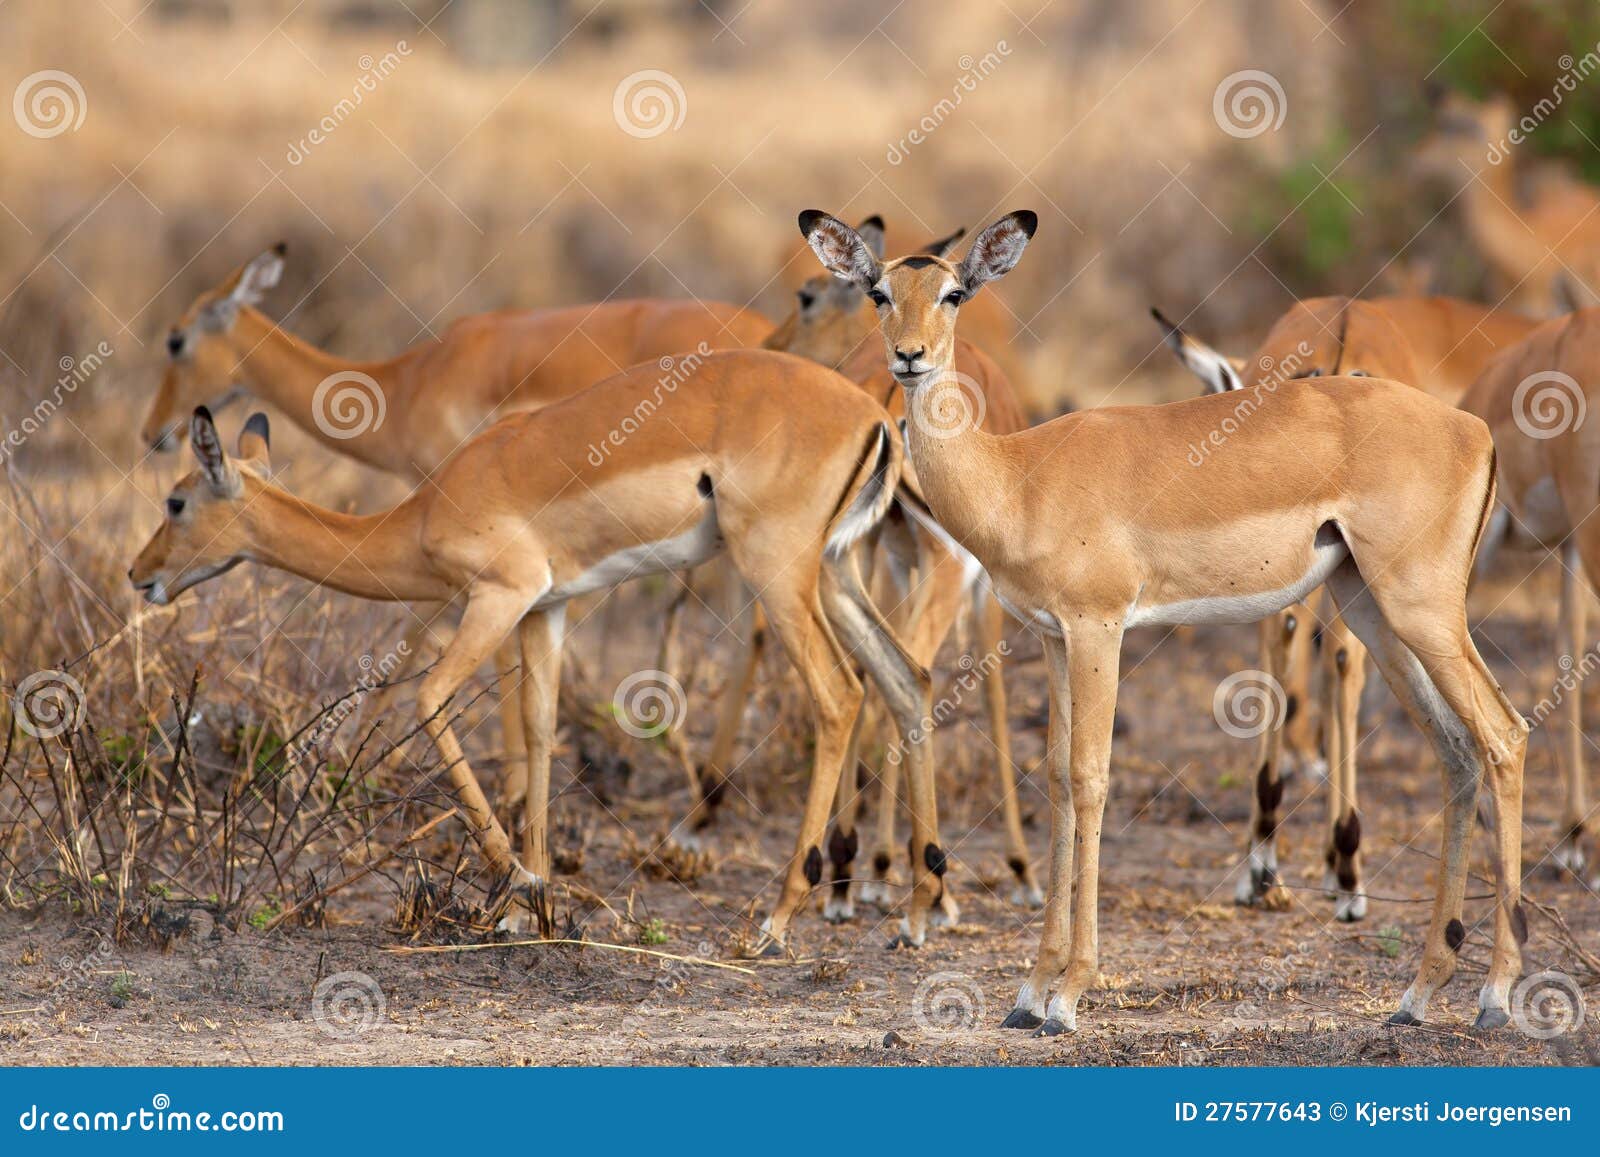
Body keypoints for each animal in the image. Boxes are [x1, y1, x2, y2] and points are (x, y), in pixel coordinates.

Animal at [129, 347, 953, 950]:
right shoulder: (545, 611)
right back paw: (918, 910)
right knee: (907, 678)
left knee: (840, 693)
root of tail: (874, 414)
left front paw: (519, 886)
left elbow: (430, 700)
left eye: (176, 500)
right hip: (836, 571)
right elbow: (539, 732)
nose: (140, 574)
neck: (422, 515)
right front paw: (537, 906)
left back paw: (778, 919)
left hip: (779, 572)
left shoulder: (499, 597)